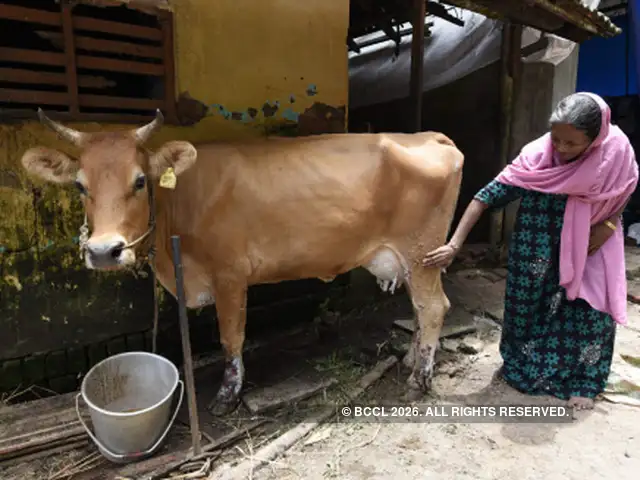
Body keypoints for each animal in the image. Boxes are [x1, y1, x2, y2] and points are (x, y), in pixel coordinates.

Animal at [21, 109, 464, 415]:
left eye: (140, 181)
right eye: (80, 186)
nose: (103, 251)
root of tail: (432, 136)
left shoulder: (229, 274)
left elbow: (230, 337)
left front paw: (227, 395)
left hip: (422, 252)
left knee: (434, 307)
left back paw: (419, 378)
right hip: (409, 259)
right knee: (418, 308)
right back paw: (412, 359)